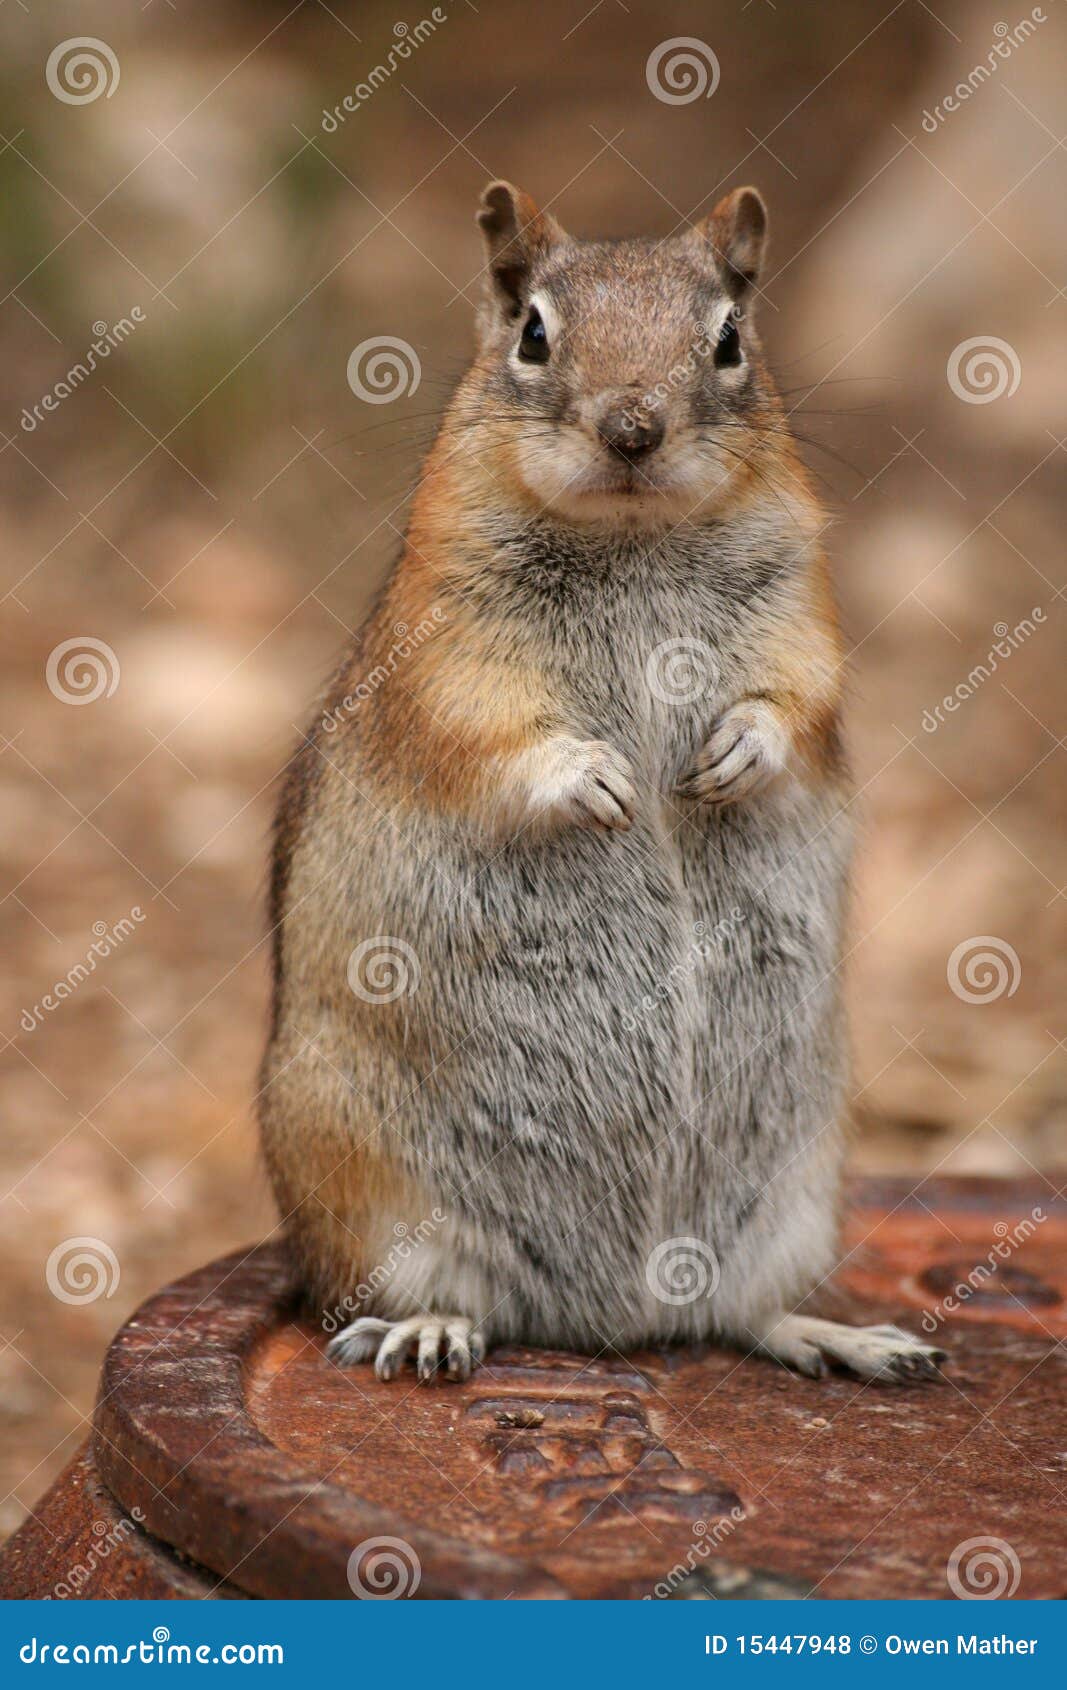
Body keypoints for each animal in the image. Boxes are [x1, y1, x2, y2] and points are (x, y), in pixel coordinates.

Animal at [258, 182, 946, 1388]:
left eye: (728, 338)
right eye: (532, 332)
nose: (632, 427)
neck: (633, 536)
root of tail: (613, 1321)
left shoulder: (802, 626)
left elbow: (793, 704)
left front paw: (733, 756)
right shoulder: (446, 655)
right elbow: (489, 735)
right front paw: (598, 779)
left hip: (796, 1193)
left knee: (740, 1315)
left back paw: (843, 1335)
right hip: (367, 1188)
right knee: (438, 1299)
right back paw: (430, 1328)